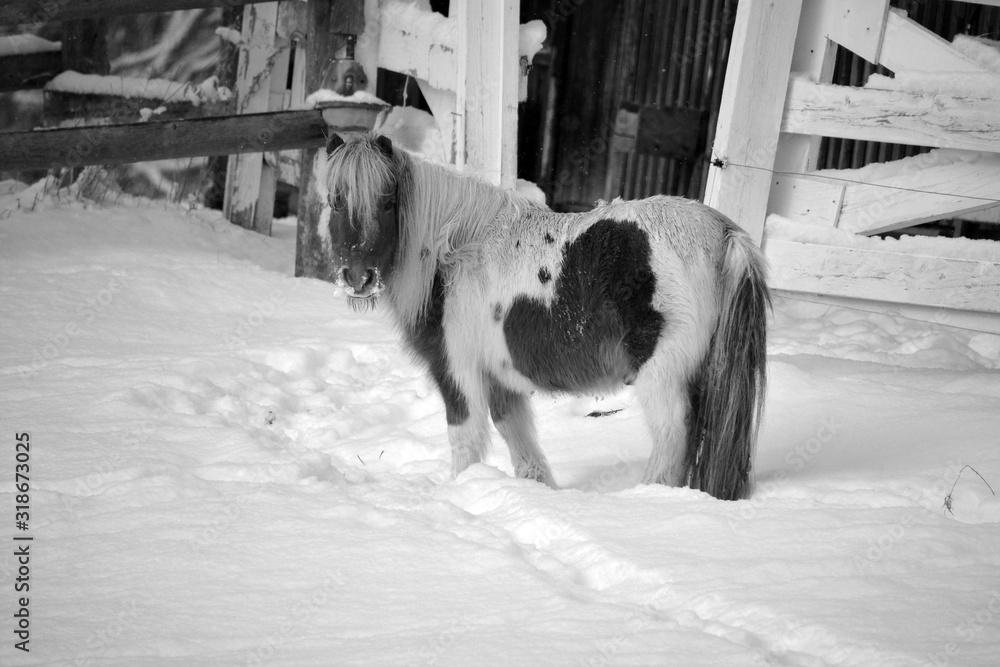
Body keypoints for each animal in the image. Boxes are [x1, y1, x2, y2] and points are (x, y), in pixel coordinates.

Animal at [314, 132, 770, 500]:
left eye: (388, 202)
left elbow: (465, 440)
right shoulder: (500, 378)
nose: (358, 278)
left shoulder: (457, 371)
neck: (452, 253)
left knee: (673, 437)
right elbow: (518, 439)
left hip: (662, 376)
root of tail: (723, 232)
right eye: (335, 201)